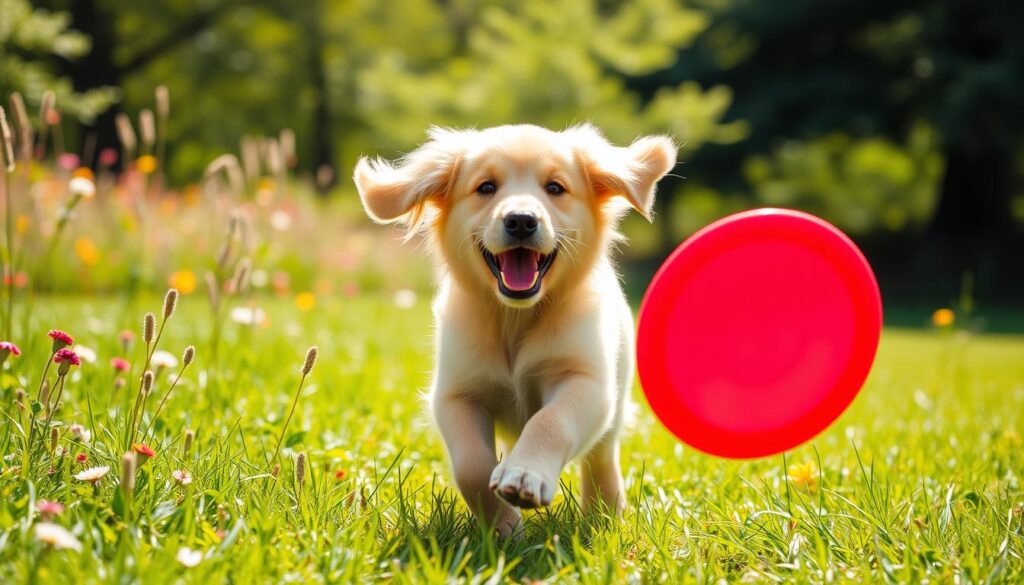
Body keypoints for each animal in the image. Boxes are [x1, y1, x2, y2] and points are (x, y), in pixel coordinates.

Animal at [356, 123, 675, 536]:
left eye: (555, 187)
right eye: (486, 187)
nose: (521, 220)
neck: (515, 317)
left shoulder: (586, 381)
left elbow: (550, 421)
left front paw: (524, 476)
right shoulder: (457, 393)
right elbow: (472, 466)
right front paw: (505, 526)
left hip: (616, 402)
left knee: (601, 456)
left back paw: (604, 513)